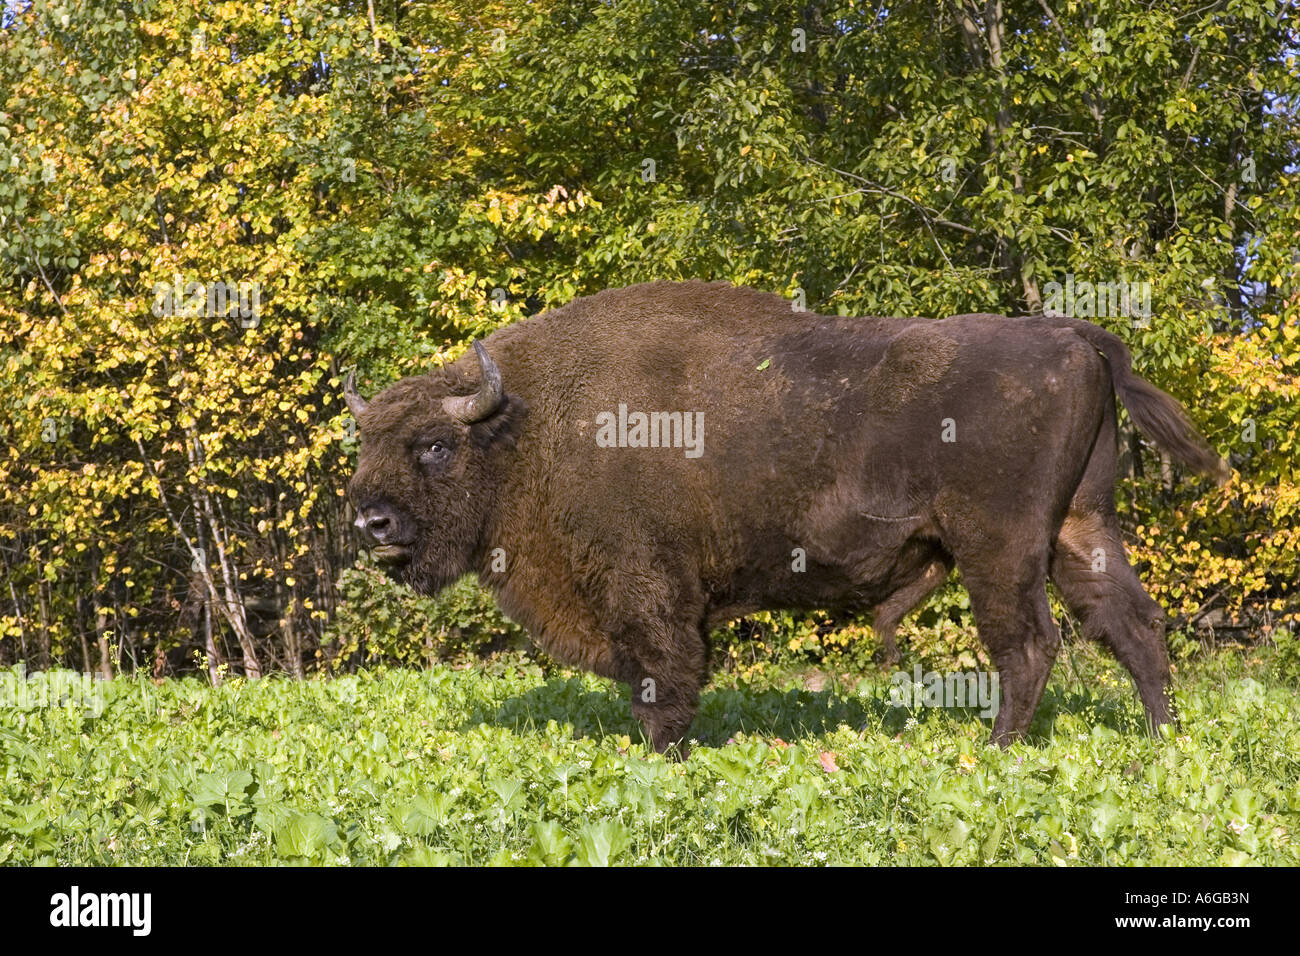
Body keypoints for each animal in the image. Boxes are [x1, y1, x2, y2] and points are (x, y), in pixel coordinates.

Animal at [345, 280, 1227, 754]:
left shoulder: (647, 590)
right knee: (1131, 624)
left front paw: (663, 757)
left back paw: (995, 751)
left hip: (999, 548)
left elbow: (663, 680)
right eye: (365, 442)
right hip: (1082, 526)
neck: (525, 426)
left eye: (433, 446)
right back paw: (1165, 739)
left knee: (1030, 646)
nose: (369, 523)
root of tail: (1077, 337)